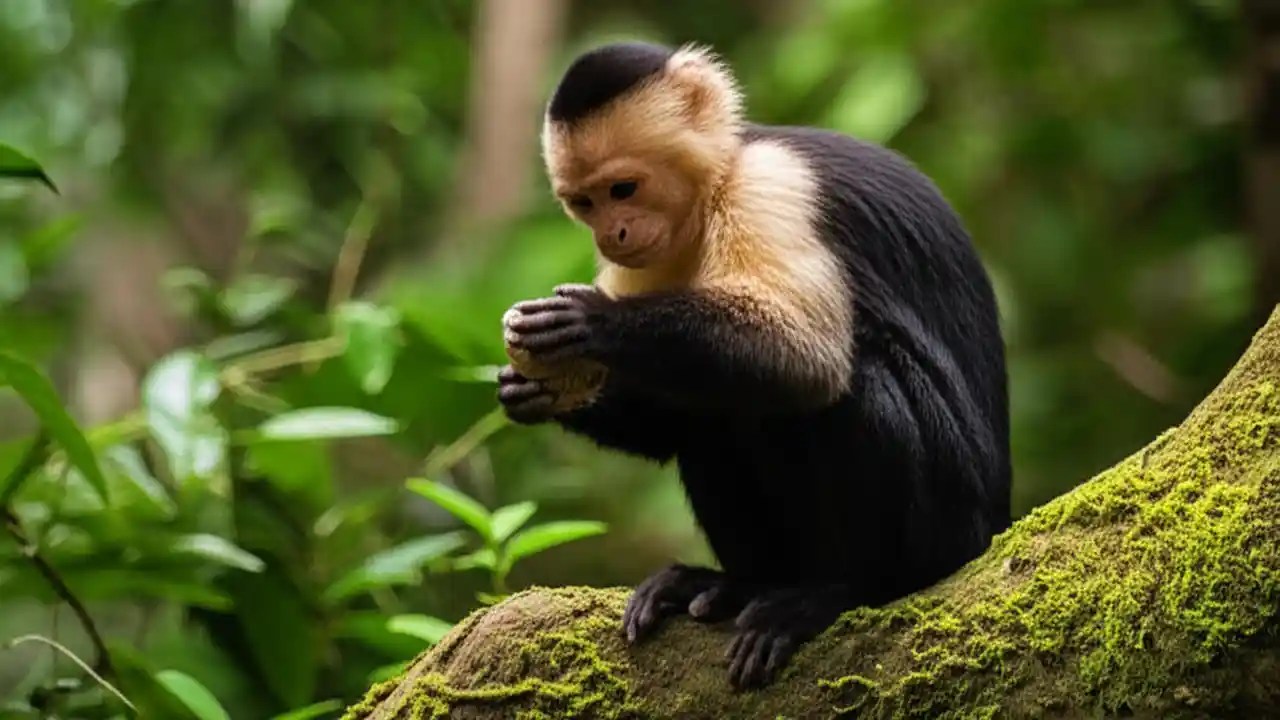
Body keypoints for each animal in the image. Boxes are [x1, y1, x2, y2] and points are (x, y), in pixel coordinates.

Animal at [496, 41, 1011, 690]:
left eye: (624, 189)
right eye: (584, 203)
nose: (612, 235)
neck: (715, 187)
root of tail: (996, 525)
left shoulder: (769, 188)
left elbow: (807, 361)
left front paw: (595, 322)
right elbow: (665, 426)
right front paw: (534, 391)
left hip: (956, 524)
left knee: (848, 386)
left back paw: (848, 590)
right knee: (715, 413)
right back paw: (738, 585)